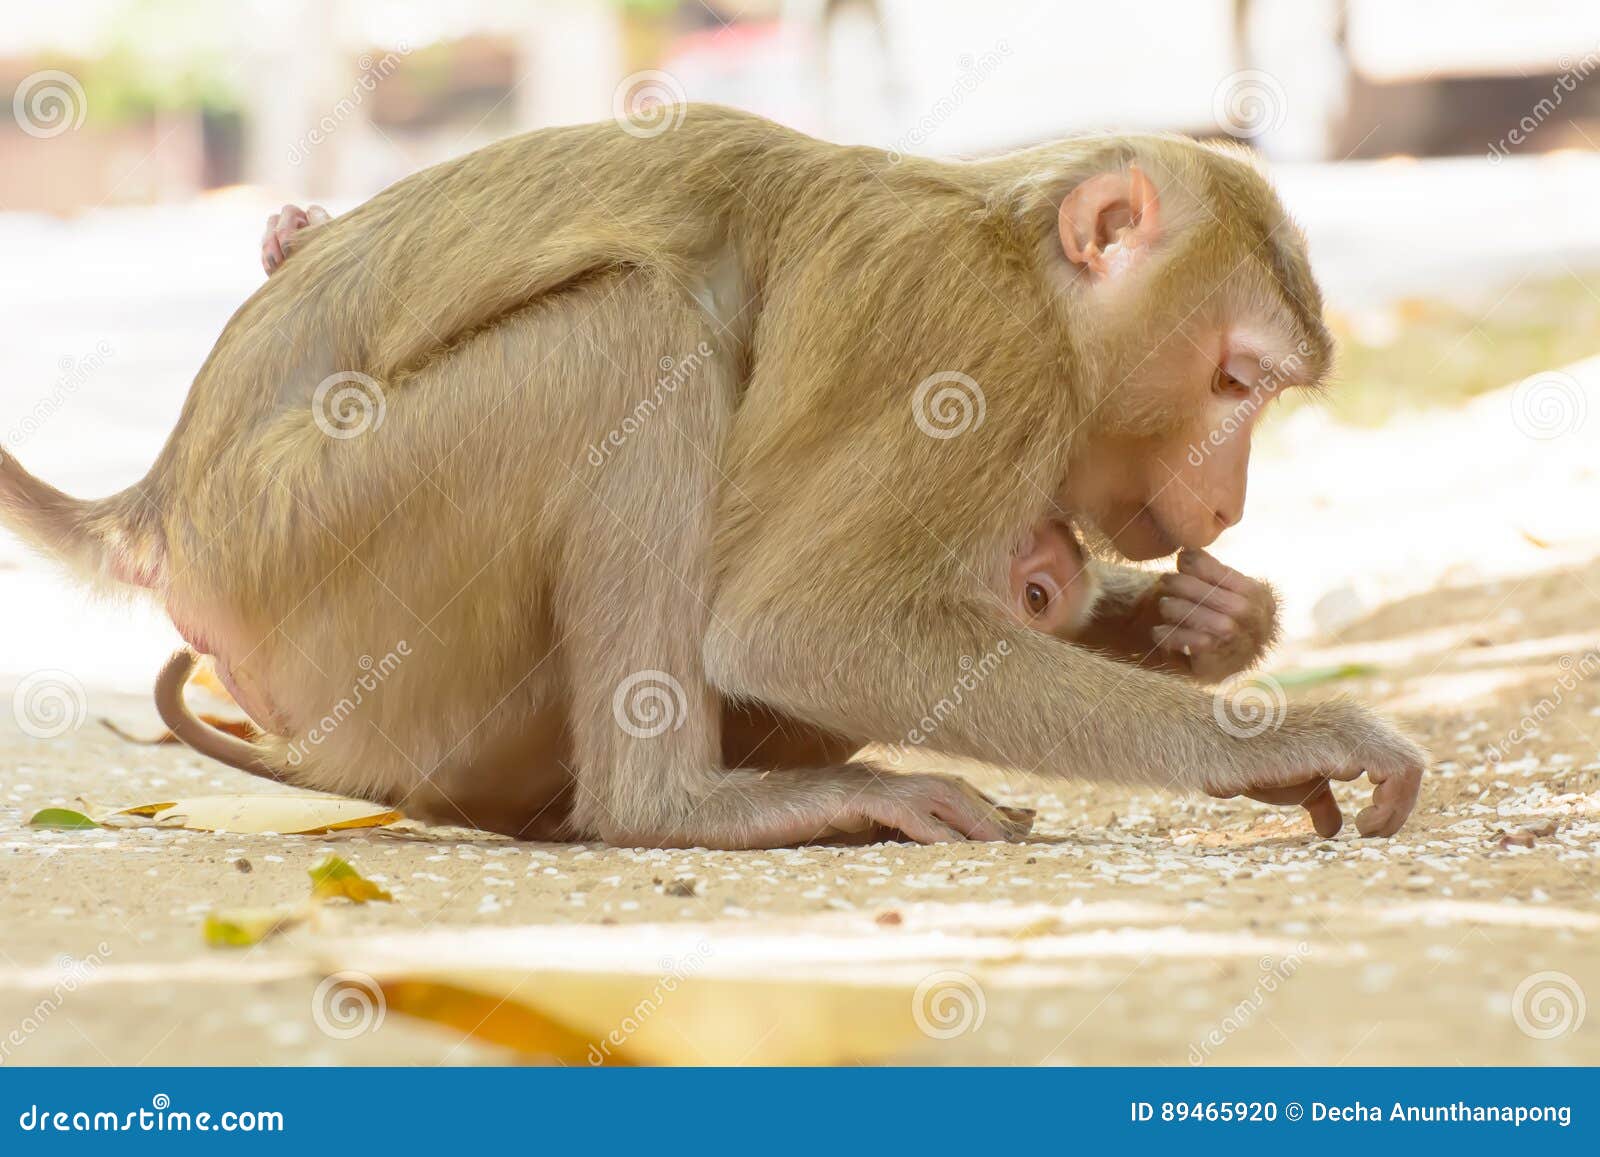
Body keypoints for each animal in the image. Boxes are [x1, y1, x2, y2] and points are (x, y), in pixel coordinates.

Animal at [0, 105, 1425, 849]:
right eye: (1235, 383)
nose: (1228, 497)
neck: (1020, 257)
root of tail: (161, 502)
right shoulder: (974, 343)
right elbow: (800, 627)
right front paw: (1280, 735)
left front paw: (1206, 622)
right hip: (313, 549)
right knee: (632, 336)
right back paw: (672, 808)